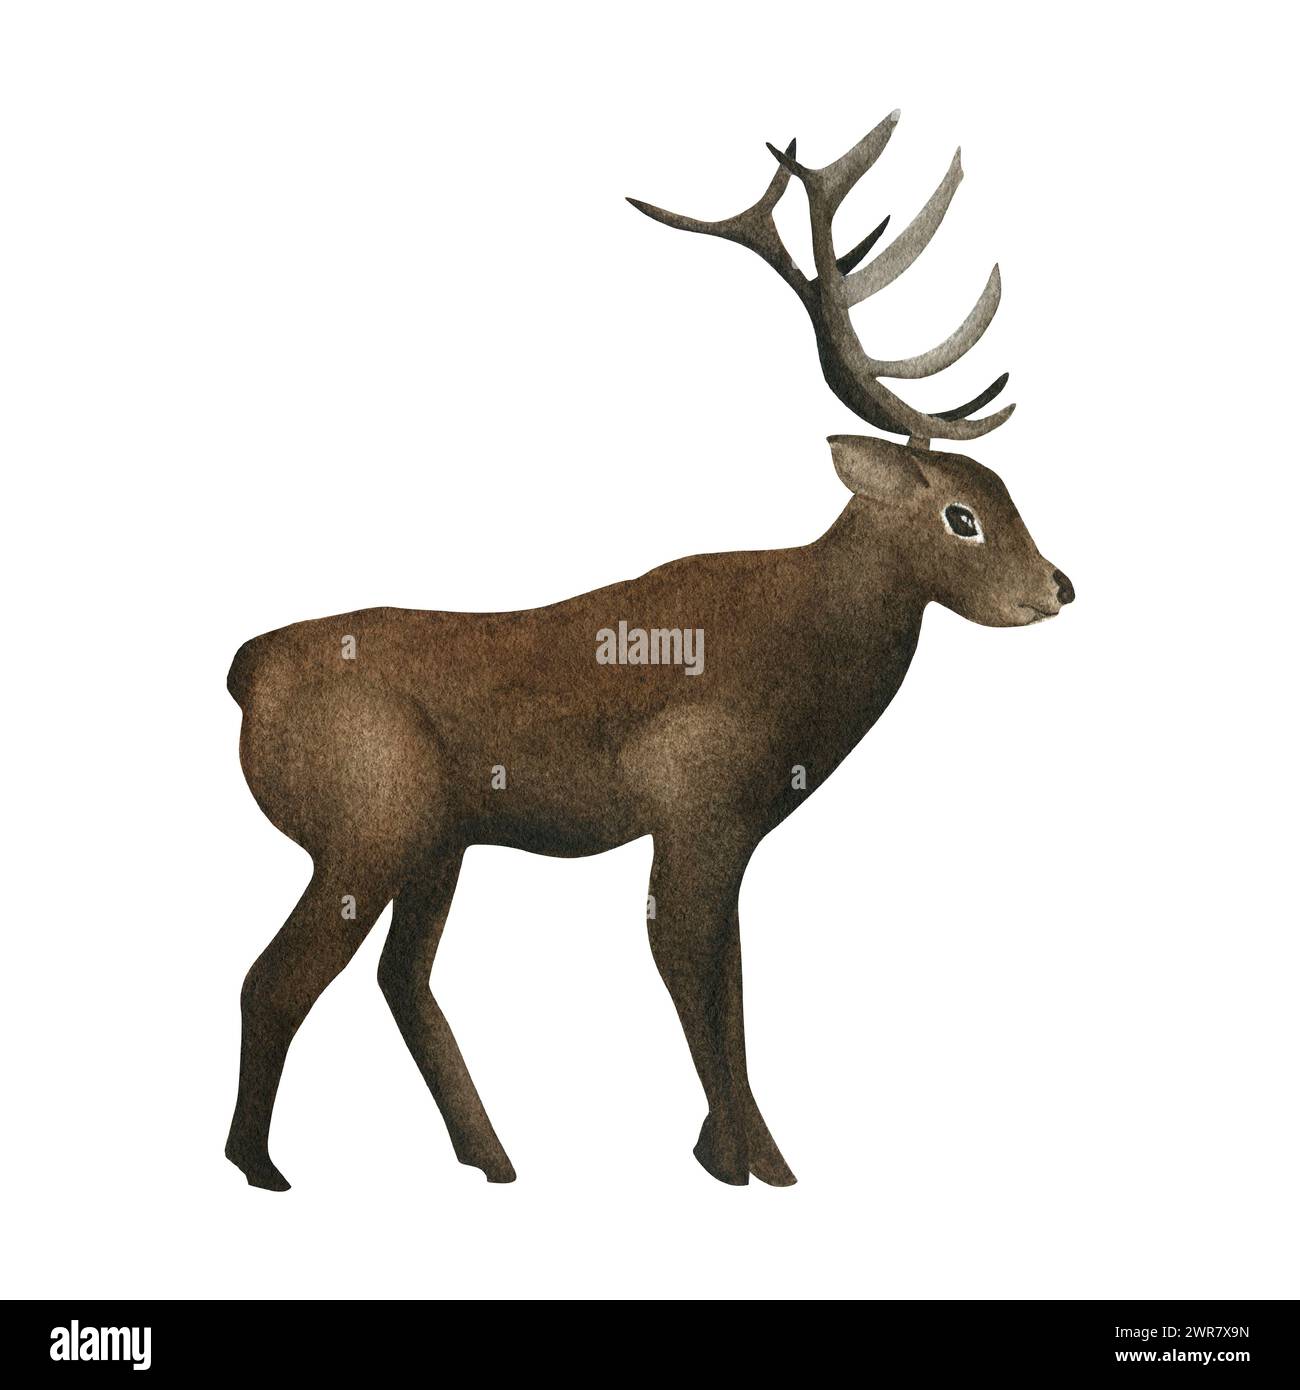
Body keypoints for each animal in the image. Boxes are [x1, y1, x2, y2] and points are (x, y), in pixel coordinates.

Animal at [225, 112, 1073, 1192]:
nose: (1059, 587)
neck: (803, 668)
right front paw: (743, 1165)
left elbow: (732, 989)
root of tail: (245, 668)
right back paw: (261, 1165)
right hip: (366, 818)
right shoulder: (694, 801)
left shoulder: (737, 831)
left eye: (1008, 493)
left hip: (437, 838)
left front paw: (748, 1161)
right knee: (275, 976)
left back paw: (492, 1159)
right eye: (962, 515)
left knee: (399, 976)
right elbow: (691, 975)